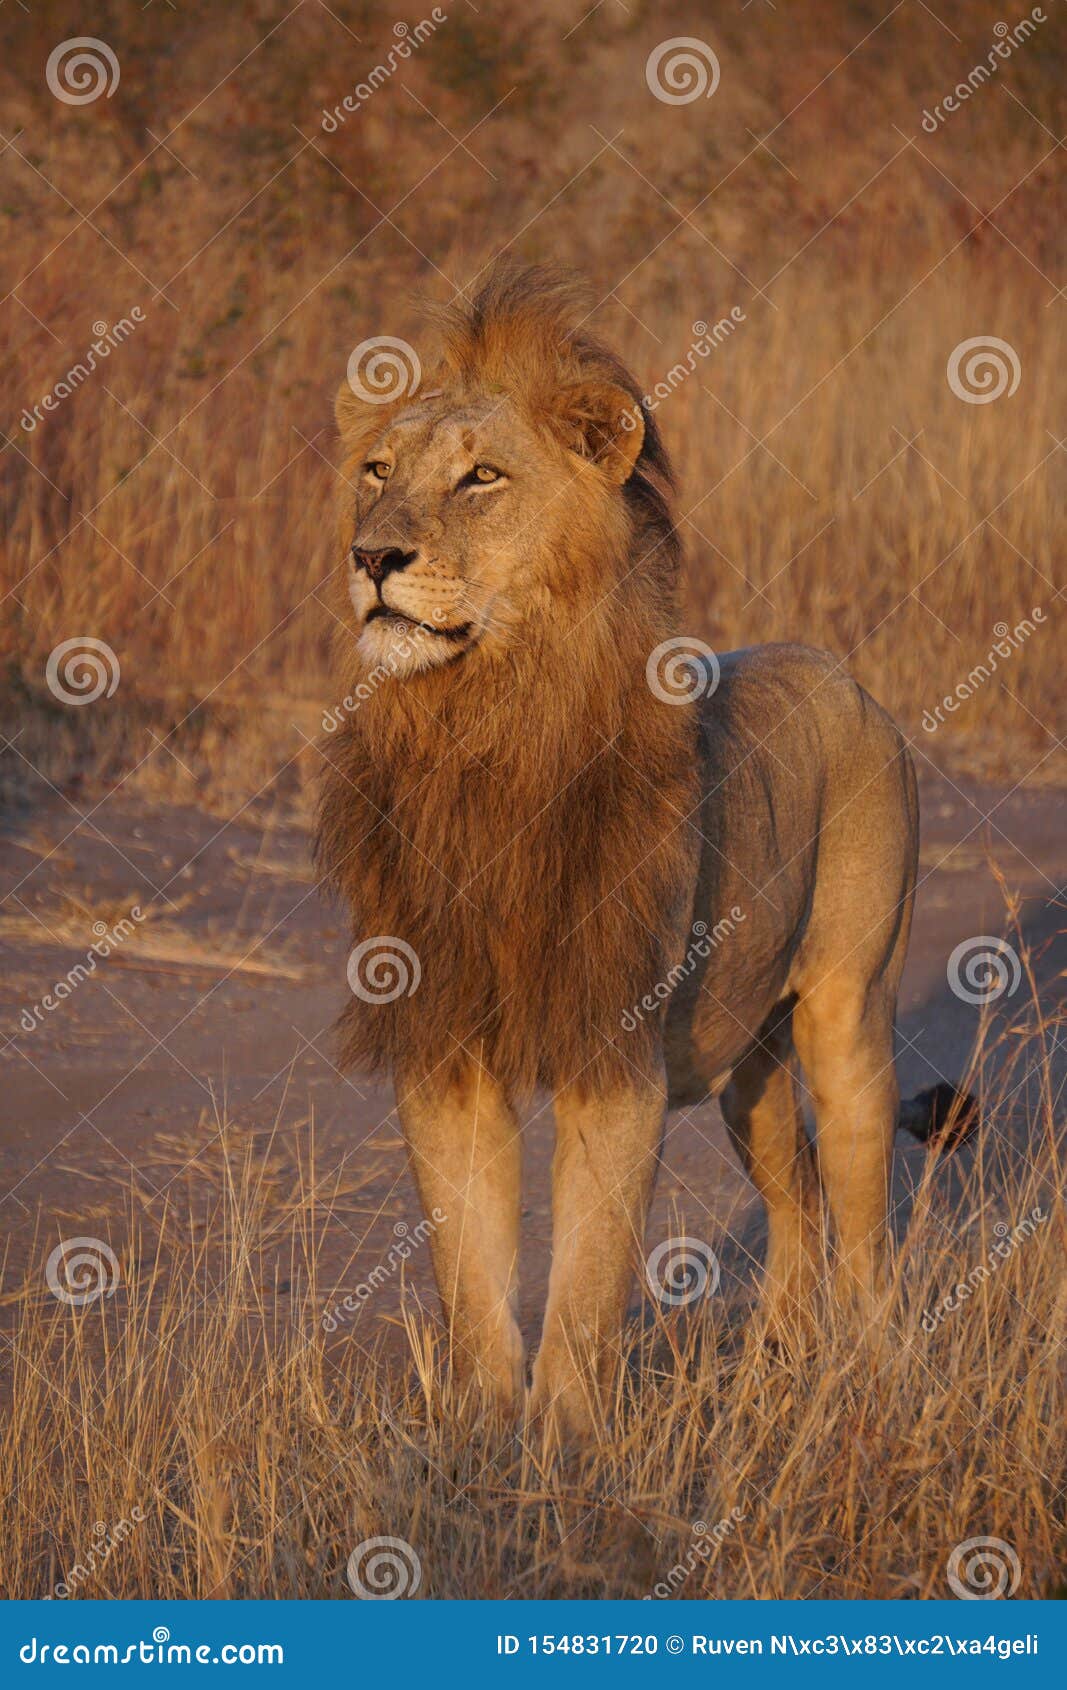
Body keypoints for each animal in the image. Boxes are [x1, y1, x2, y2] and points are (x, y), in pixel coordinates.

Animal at [316, 263, 971, 1440]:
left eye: (480, 477)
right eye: (377, 471)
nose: (373, 556)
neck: (481, 730)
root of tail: (838, 672)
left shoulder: (611, 1054)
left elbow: (584, 1279)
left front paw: (564, 1445)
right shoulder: (445, 1046)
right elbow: (470, 1271)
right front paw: (476, 1438)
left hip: (848, 1013)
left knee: (862, 1214)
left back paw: (866, 1376)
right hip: (746, 1066)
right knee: (798, 1187)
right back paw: (780, 1354)